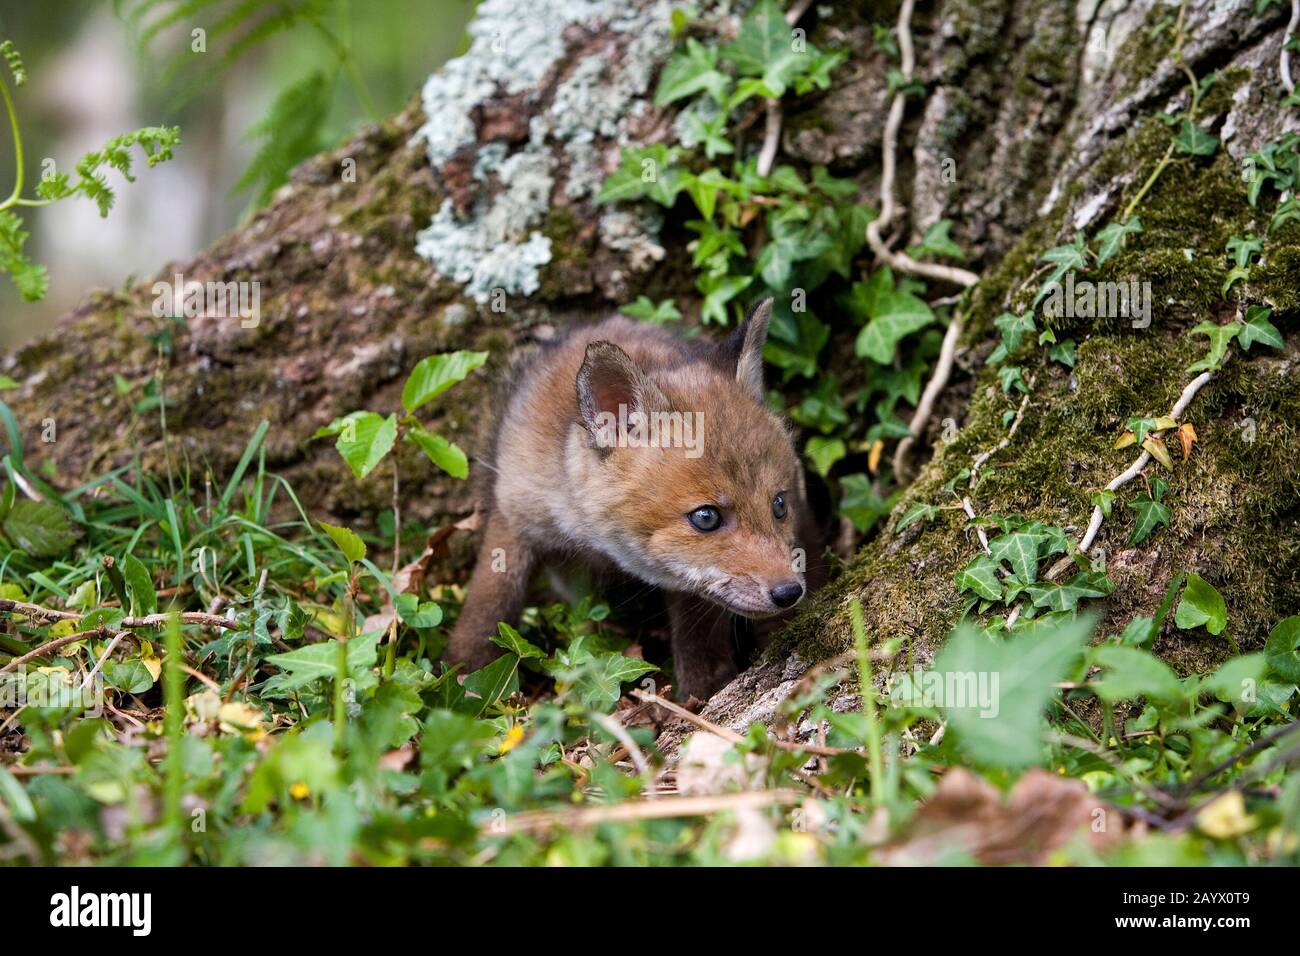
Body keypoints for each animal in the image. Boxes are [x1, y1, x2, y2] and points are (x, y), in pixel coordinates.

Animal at [445, 298, 825, 701]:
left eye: (778, 505)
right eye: (706, 517)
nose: (789, 592)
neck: (587, 531)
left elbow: (697, 636)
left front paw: (700, 693)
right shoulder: (514, 512)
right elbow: (488, 604)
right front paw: (464, 678)